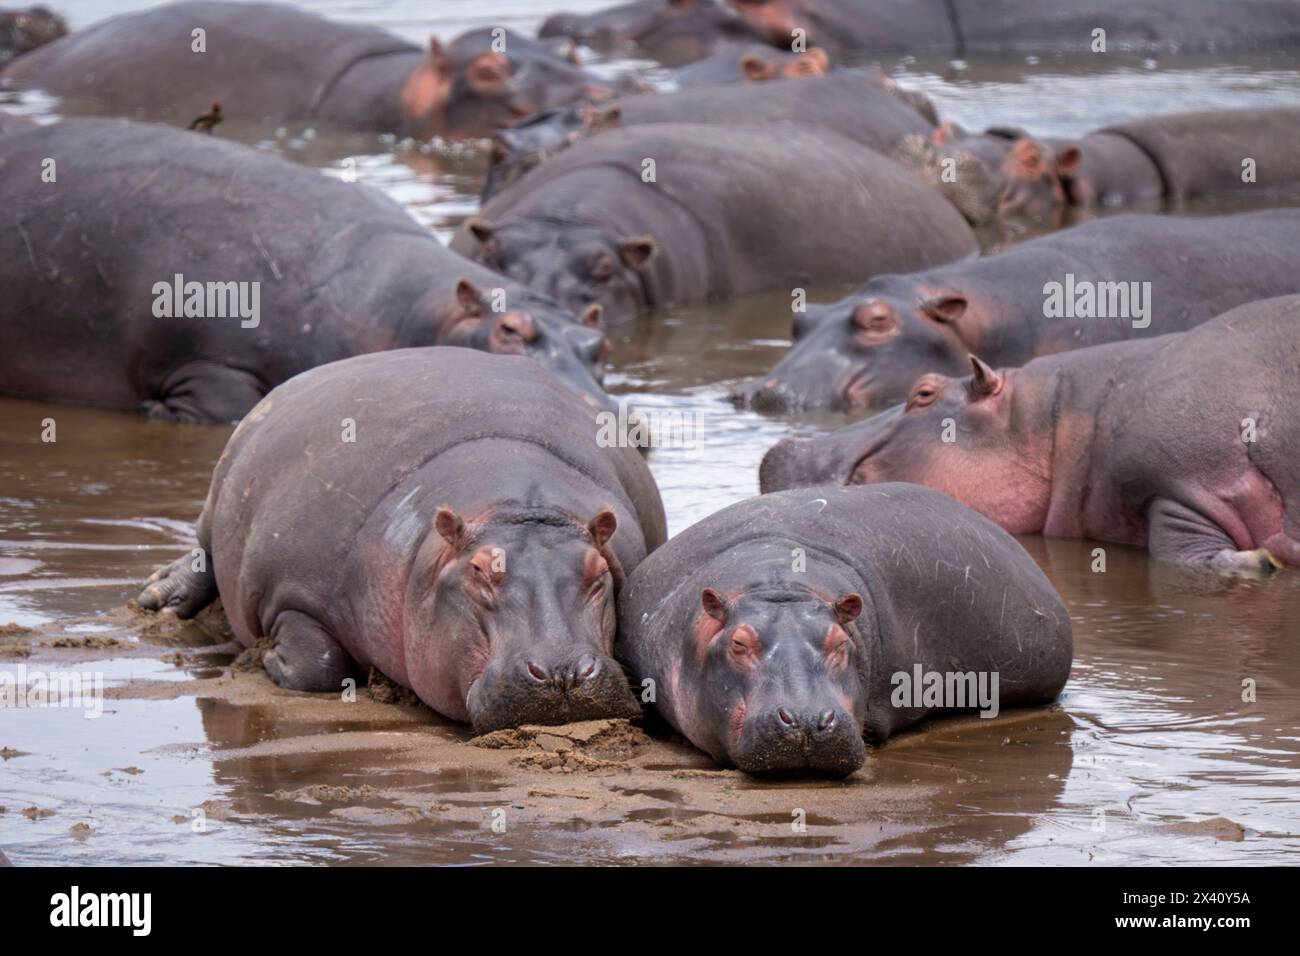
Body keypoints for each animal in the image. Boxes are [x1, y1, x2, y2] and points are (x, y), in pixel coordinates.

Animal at [0, 117, 612, 423]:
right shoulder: (208, 363)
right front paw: (153, 409)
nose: (606, 416)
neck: (404, 312)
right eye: (508, 330)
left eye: (599, 346)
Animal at [138, 348, 667, 730]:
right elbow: (319, 662)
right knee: (204, 553)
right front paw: (265, 655)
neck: (516, 510)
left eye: (598, 573)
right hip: (220, 492)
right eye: (478, 572)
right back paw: (157, 598)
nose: (562, 673)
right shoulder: (292, 592)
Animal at [761, 296, 1300, 574]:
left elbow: (1185, 552)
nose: (782, 448)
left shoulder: (1180, 482)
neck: (1063, 416)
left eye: (924, 393)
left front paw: (1257, 561)